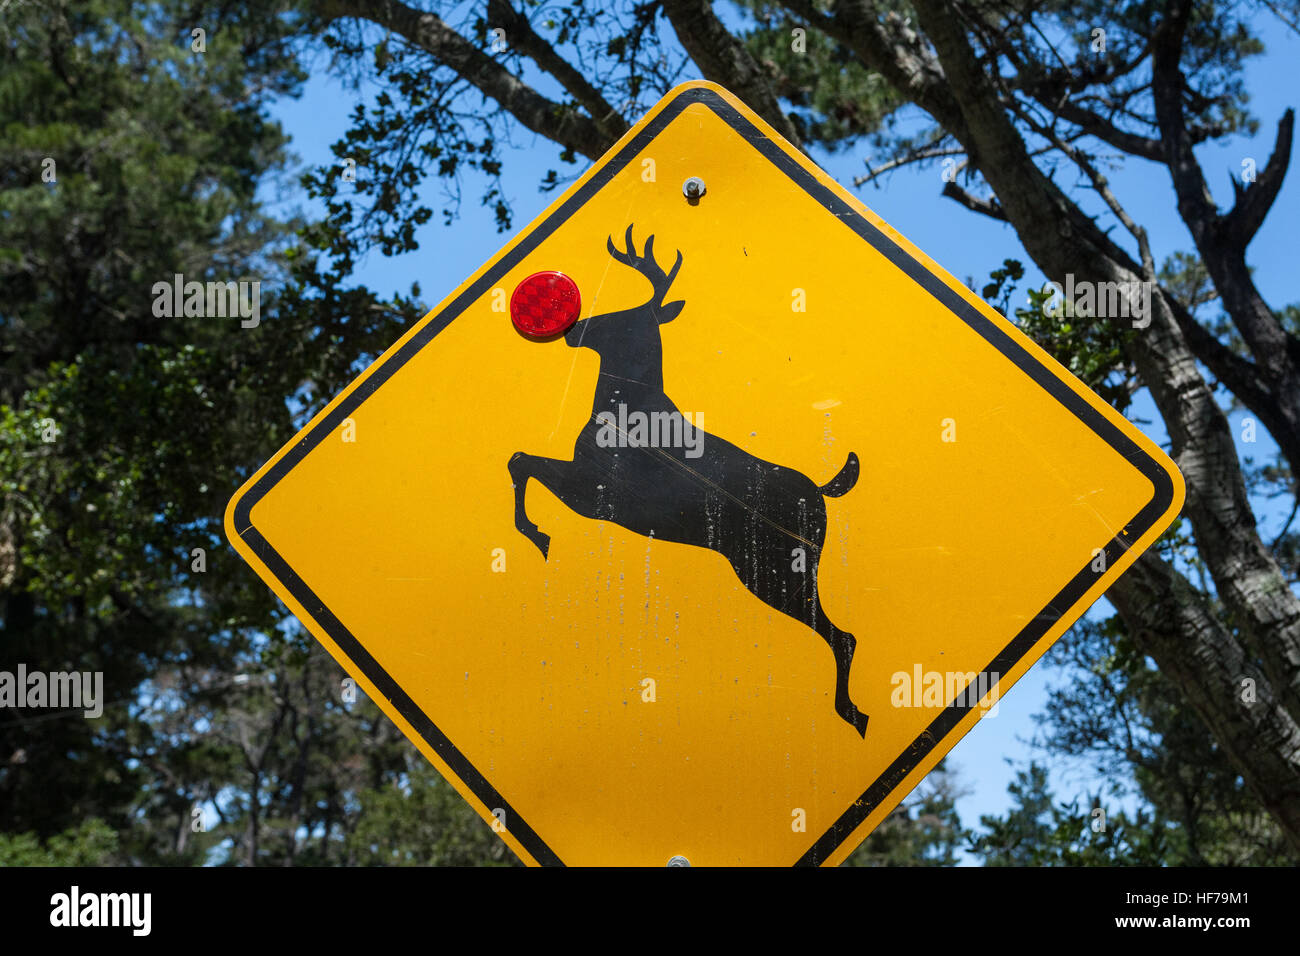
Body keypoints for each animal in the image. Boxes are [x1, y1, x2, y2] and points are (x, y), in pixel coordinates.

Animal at [508, 226, 869, 737]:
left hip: (777, 564)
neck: (622, 407)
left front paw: (538, 535)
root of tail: (822, 493)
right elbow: (520, 461)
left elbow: (521, 461)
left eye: (622, 318)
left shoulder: (597, 494)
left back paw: (852, 714)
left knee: (842, 634)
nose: (575, 328)